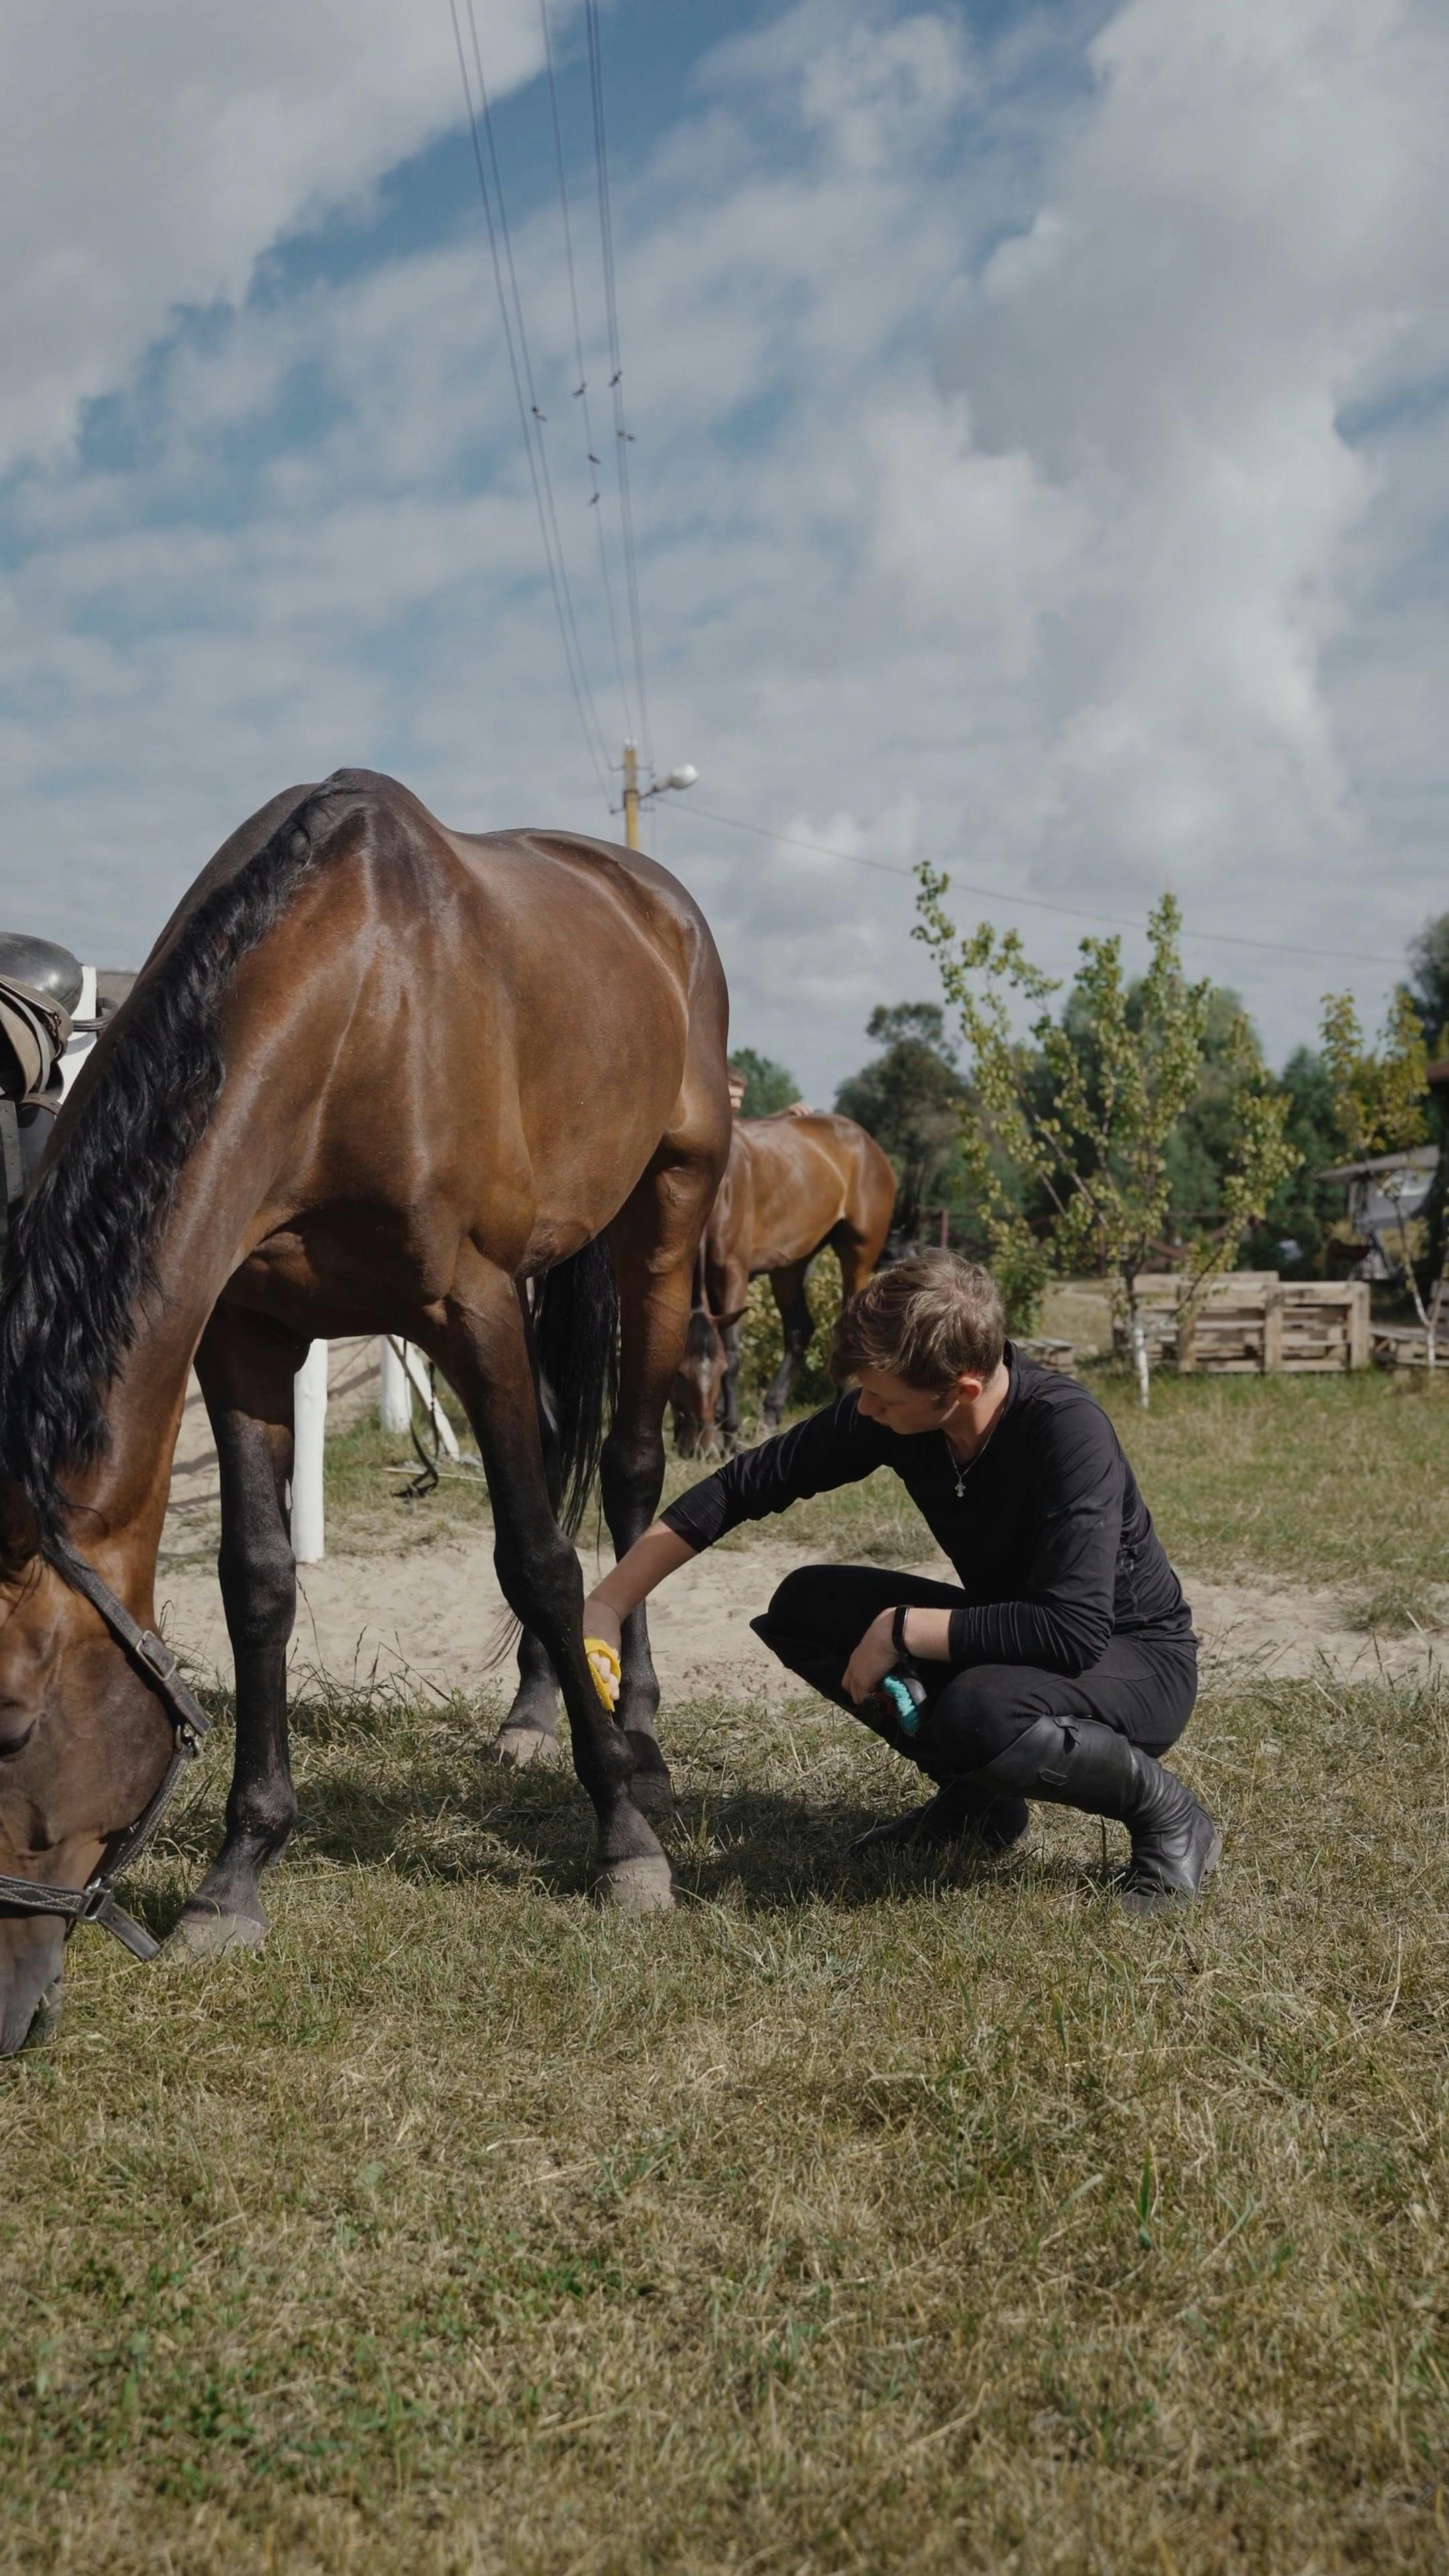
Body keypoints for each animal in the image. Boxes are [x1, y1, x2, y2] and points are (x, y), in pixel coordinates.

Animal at [0, 770, 730, 2054]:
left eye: (13, 1724)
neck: (351, 1011)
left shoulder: (470, 1307)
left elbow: (537, 1560)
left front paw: (625, 1843)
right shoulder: (246, 1332)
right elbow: (258, 1584)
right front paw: (234, 1878)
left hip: (664, 1214)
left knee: (631, 1471)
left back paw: (636, 1728)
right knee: (560, 1452)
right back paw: (535, 1710)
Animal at [670, 1112, 896, 1456]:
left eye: (718, 1371)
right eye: (681, 1374)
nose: (700, 1445)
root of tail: (869, 1145)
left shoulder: (732, 1273)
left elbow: (733, 1353)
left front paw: (732, 1432)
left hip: (857, 1256)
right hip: (789, 1268)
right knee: (799, 1330)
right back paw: (770, 1413)